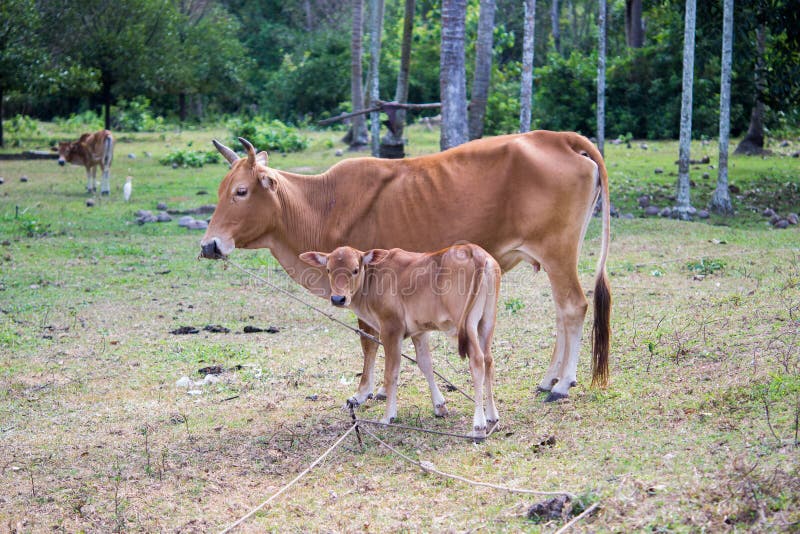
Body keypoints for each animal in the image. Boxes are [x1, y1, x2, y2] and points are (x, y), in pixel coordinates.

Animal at [200, 131, 610, 403]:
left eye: (241, 191)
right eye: (220, 191)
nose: (209, 245)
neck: (321, 205)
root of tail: (559, 137)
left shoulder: (363, 288)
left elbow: (369, 341)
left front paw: (366, 392)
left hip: (557, 252)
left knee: (573, 306)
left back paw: (561, 384)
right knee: (561, 312)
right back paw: (549, 379)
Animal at [300, 244, 502, 437]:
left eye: (355, 269)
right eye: (328, 269)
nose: (338, 298)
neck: (373, 280)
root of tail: (475, 251)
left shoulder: (391, 330)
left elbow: (391, 373)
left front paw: (388, 416)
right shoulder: (419, 331)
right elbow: (425, 364)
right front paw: (440, 406)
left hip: (467, 323)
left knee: (477, 361)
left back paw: (479, 426)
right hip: (487, 321)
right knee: (489, 360)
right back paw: (492, 418)